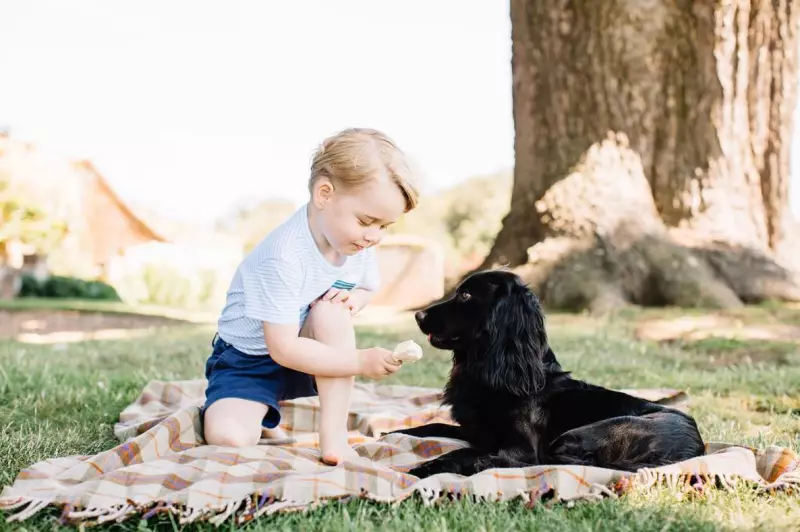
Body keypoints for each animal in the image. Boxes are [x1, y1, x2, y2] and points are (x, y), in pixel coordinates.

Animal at [390, 270, 704, 478]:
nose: (418, 315)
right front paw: (392, 433)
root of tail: (695, 448)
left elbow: (467, 452)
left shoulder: (521, 447)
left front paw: (426, 467)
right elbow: (431, 426)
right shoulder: (477, 431)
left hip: (580, 435)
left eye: (466, 295)